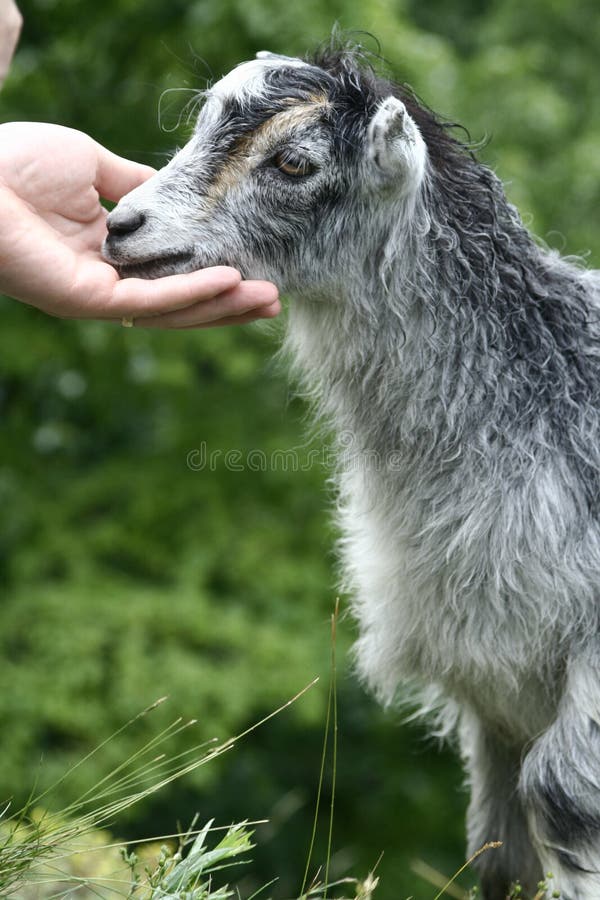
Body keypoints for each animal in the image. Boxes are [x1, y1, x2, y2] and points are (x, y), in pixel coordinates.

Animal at [103, 44, 600, 900]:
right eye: (203, 125)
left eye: (294, 163)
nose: (121, 225)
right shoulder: (497, 691)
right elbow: (497, 848)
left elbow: (562, 796)